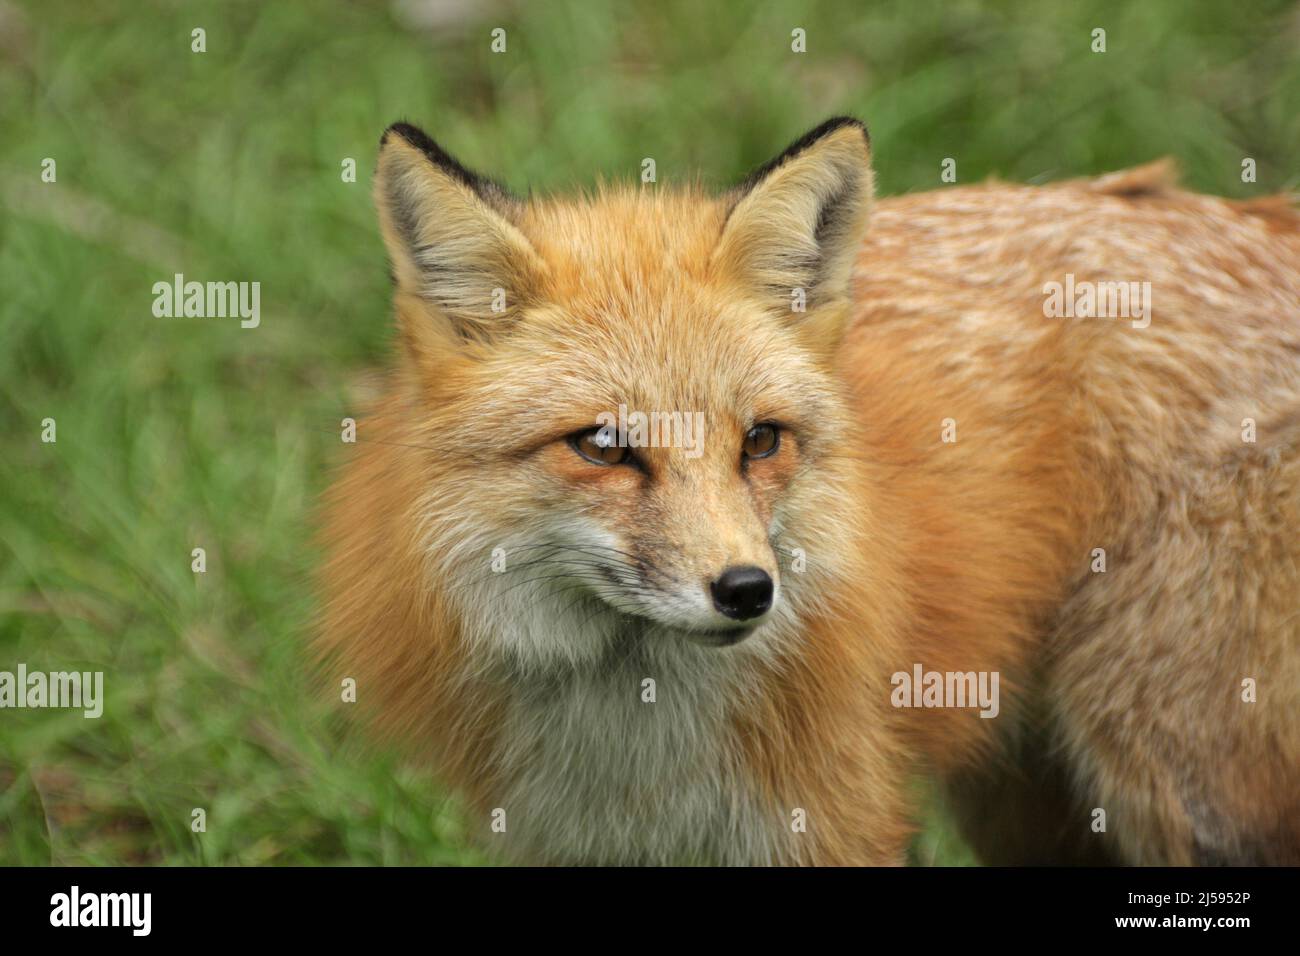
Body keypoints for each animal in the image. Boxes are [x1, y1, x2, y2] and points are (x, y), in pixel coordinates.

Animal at [317, 116, 1300, 865]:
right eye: (603, 447)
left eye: (759, 441)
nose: (749, 590)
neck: (641, 737)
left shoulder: (830, 817)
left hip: (1179, 776)